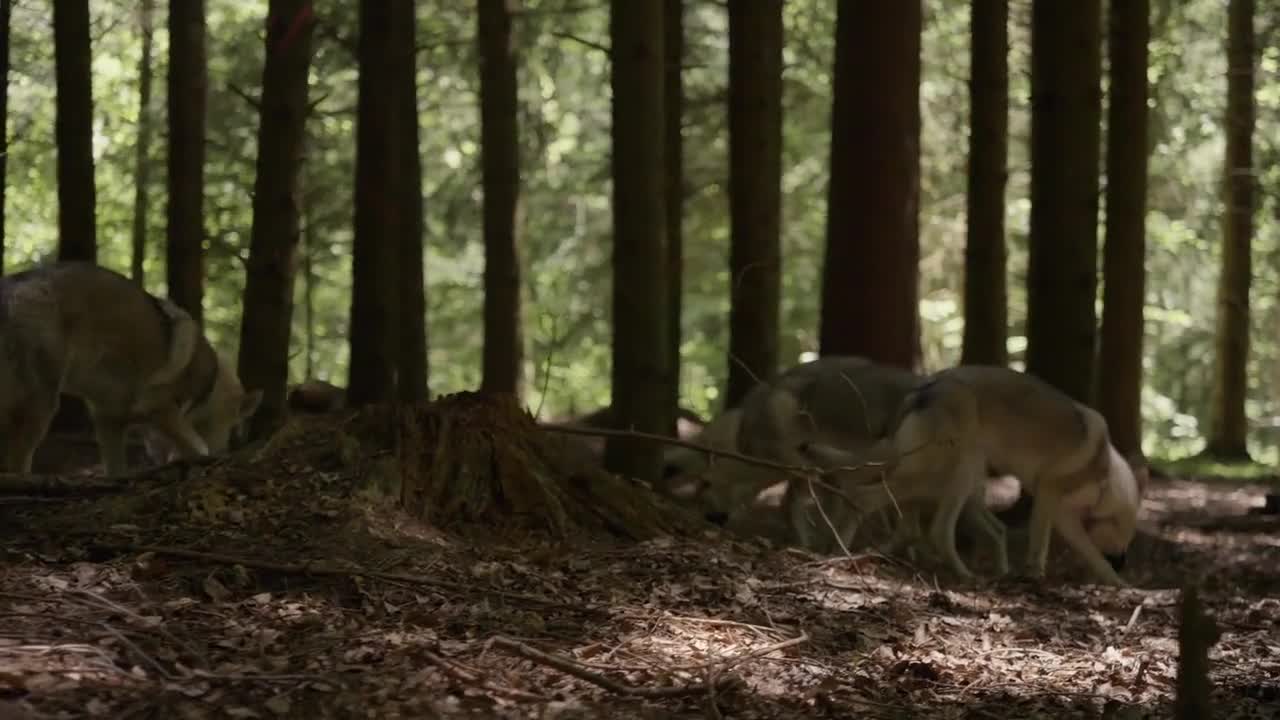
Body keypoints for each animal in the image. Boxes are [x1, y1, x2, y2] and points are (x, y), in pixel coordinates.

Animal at [0, 261, 263, 475]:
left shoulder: (109, 423)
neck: (212, 385)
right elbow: (199, 447)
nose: (226, 452)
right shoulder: (162, 410)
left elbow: (117, 472)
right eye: (232, 427)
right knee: (17, 464)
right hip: (41, 407)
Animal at [830, 365, 1148, 586]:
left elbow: (1092, 556)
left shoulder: (1063, 517)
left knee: (892, 515)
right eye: (1127, 536)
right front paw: (1034, 576)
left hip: (947, 476)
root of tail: (924, 389)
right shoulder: (1048, 499)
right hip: (950, 477)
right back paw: (967, 575)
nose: (1123, 562)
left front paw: (1118, 584)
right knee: (932, 528)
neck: (1105, 474)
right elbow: (1041, 546)